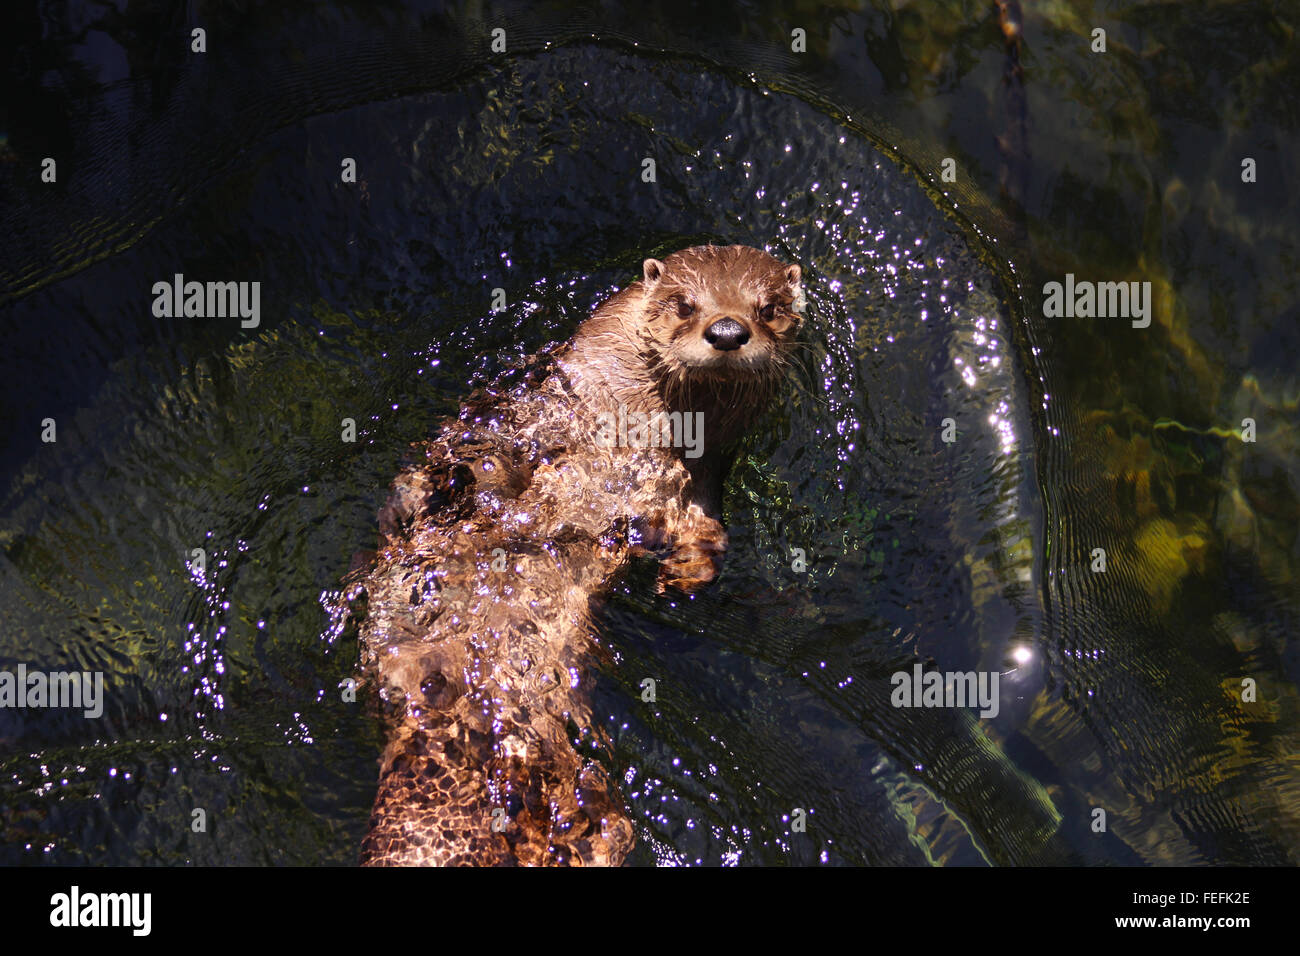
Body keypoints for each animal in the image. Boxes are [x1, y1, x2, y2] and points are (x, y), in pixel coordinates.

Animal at [340, 244, 803, 865]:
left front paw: (687, 572)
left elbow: (703, 531)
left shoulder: (698, 484)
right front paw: (443, 488)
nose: (728, 330)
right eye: (685, 304)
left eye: (768, 308)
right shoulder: (541, 409)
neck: (630, 427)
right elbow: (486, 451)